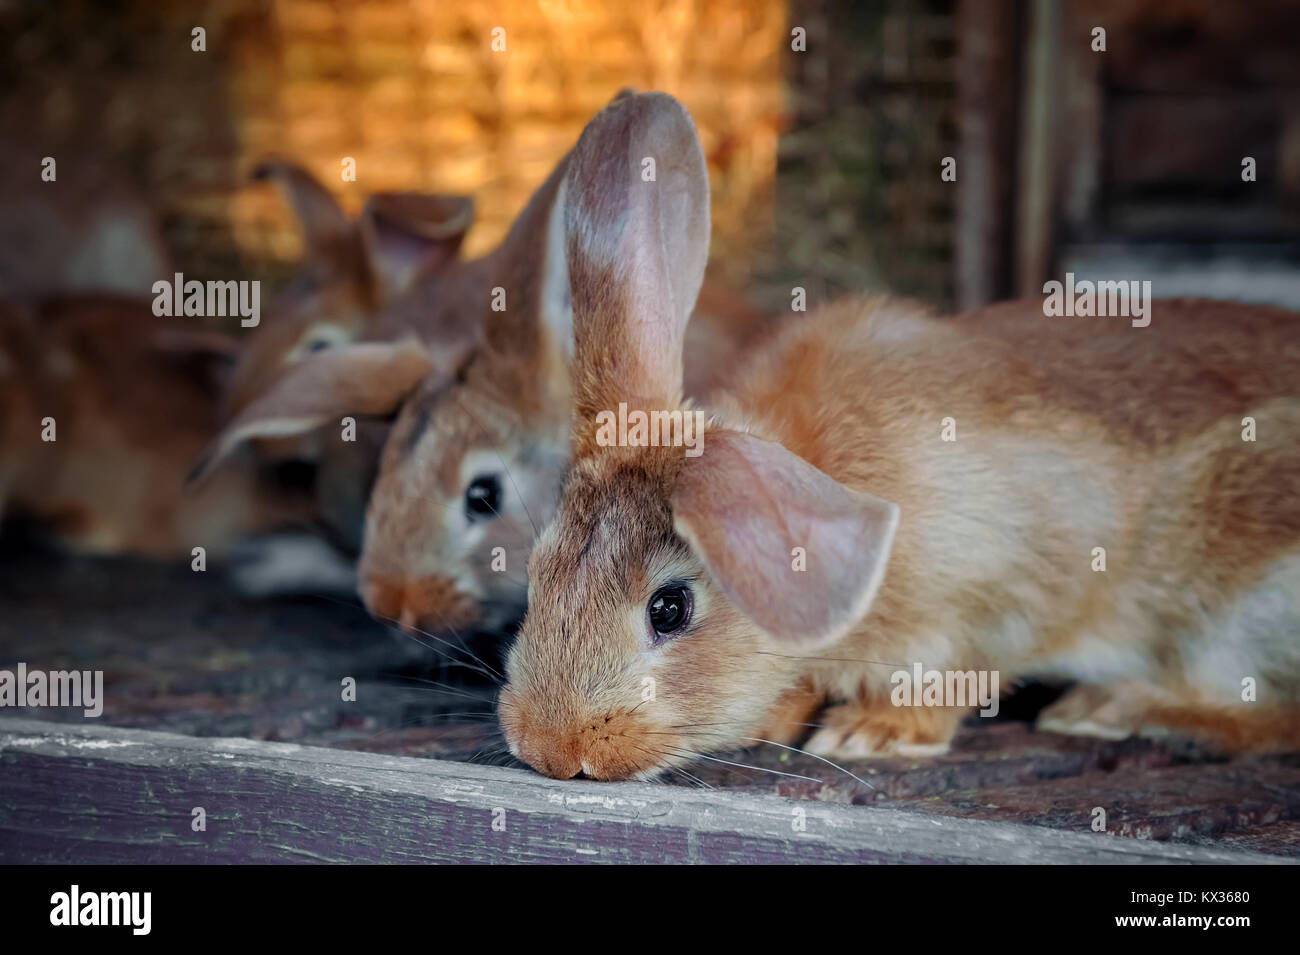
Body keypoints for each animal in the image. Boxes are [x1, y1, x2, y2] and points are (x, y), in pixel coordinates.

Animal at [496, 90, 1300, 781]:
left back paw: (1110, 709)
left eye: (670, 608)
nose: (550, 748)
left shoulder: (993, 596)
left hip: (1241, 606)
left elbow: (955, 675)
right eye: (536, 575)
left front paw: (873, 733)